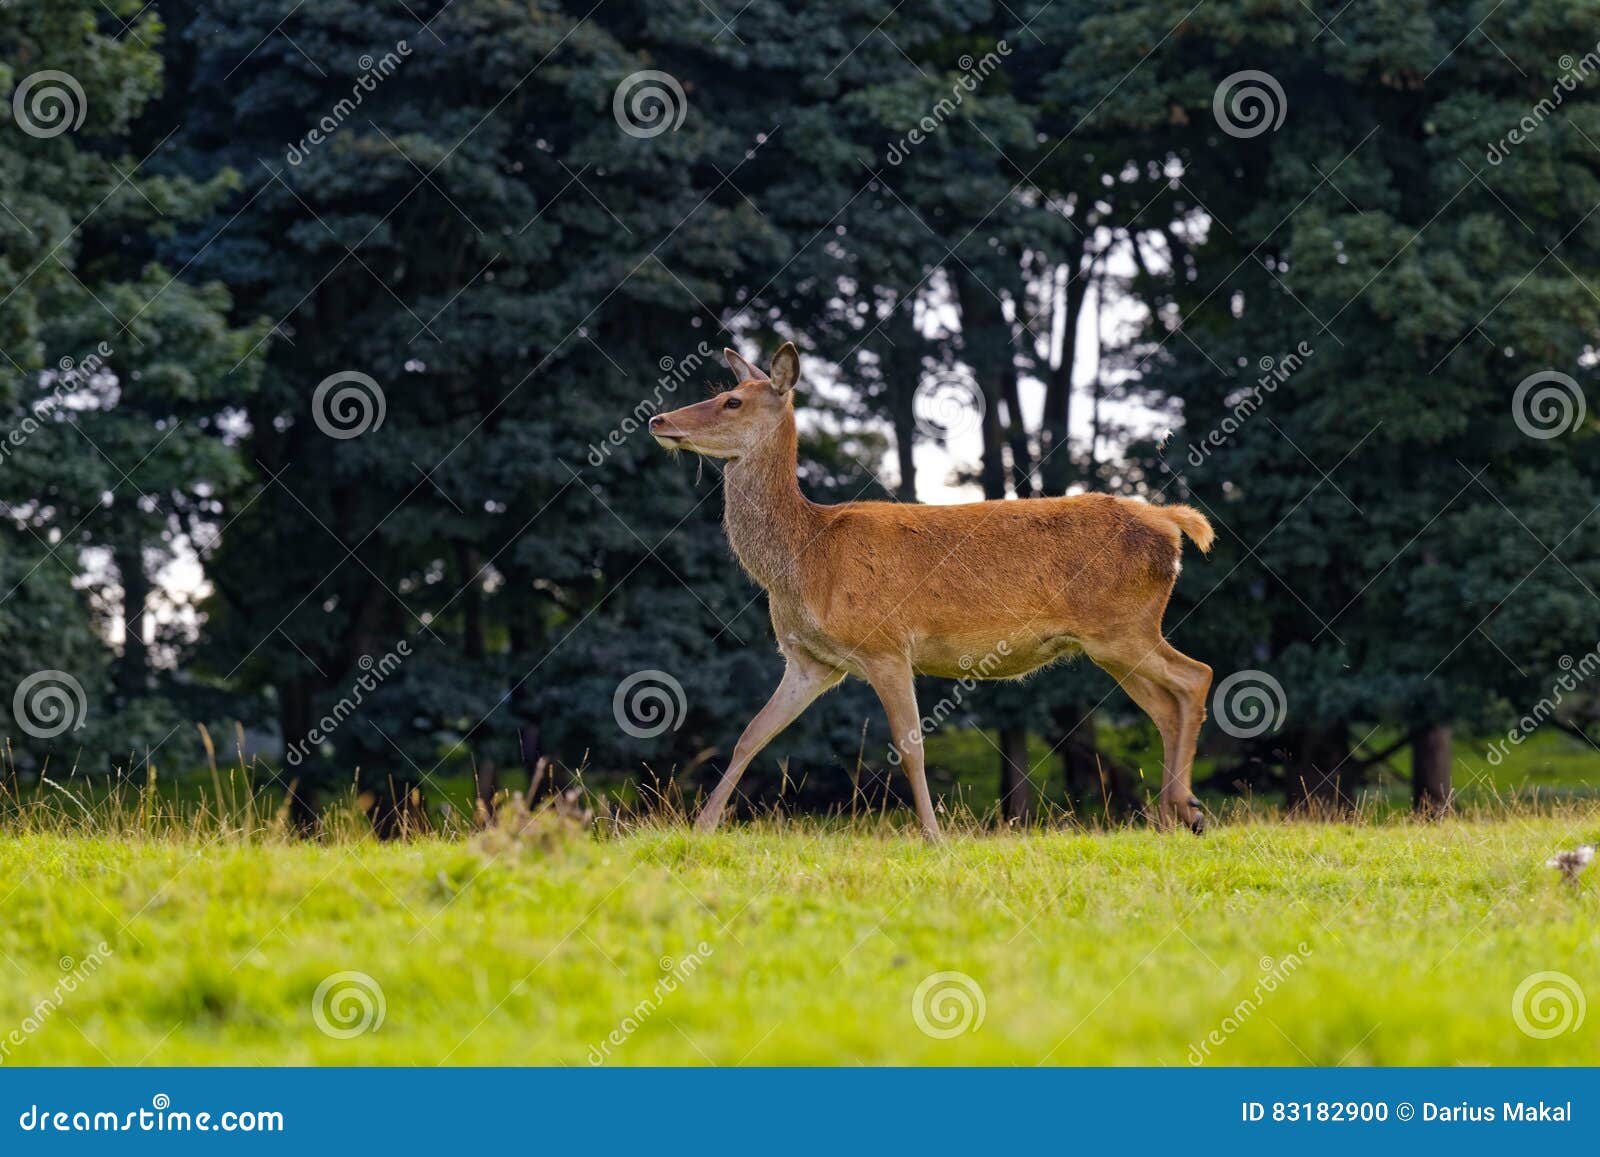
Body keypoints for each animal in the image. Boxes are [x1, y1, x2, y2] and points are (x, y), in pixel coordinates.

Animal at [648, 342, 1215, 840]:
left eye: (732, 401)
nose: (659, 421)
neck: (805, 559)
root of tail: (1171, 525)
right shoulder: (811, 661)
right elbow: (752, 735)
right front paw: (701, 827)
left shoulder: (886, 645)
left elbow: (910, 747)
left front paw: (933, 836)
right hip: (1111, 643)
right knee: (1165, 706)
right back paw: (1172, 816)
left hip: (1124, 626)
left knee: (1196, 677)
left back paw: (1187, 808)